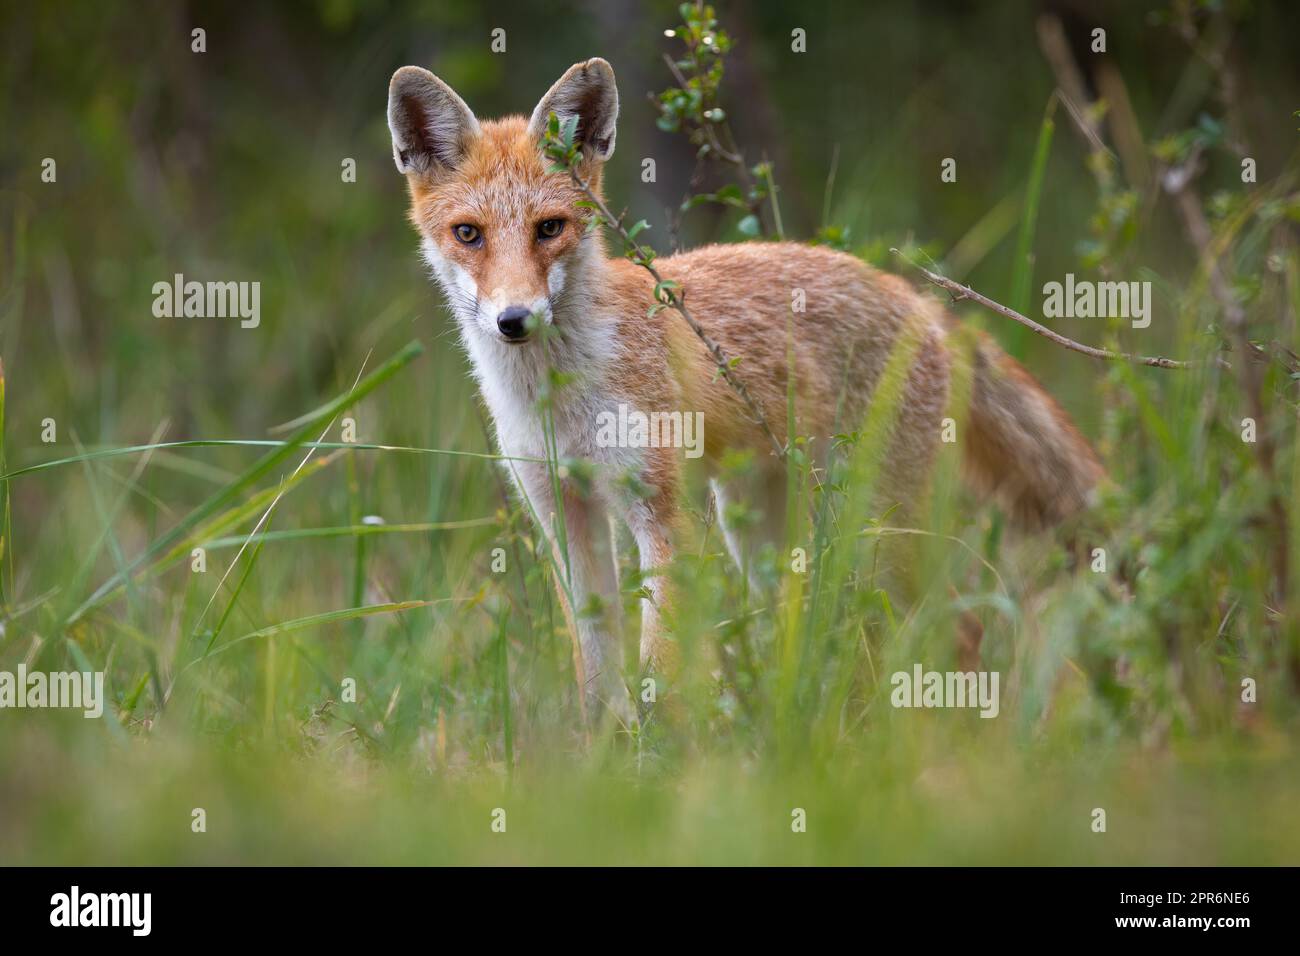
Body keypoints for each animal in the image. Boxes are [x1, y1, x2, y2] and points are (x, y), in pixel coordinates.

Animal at [386, 57, 1104, 719]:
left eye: (549, 228)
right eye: (469, 234)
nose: (515, 320)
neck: (558, 400)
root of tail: (918, 299)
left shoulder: (663, 511)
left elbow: (660, 673)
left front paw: (658, 759)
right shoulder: (562, 510)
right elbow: (596, 676)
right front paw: (600, 756)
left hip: (876, 523)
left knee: (964, 628)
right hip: (760, 531)